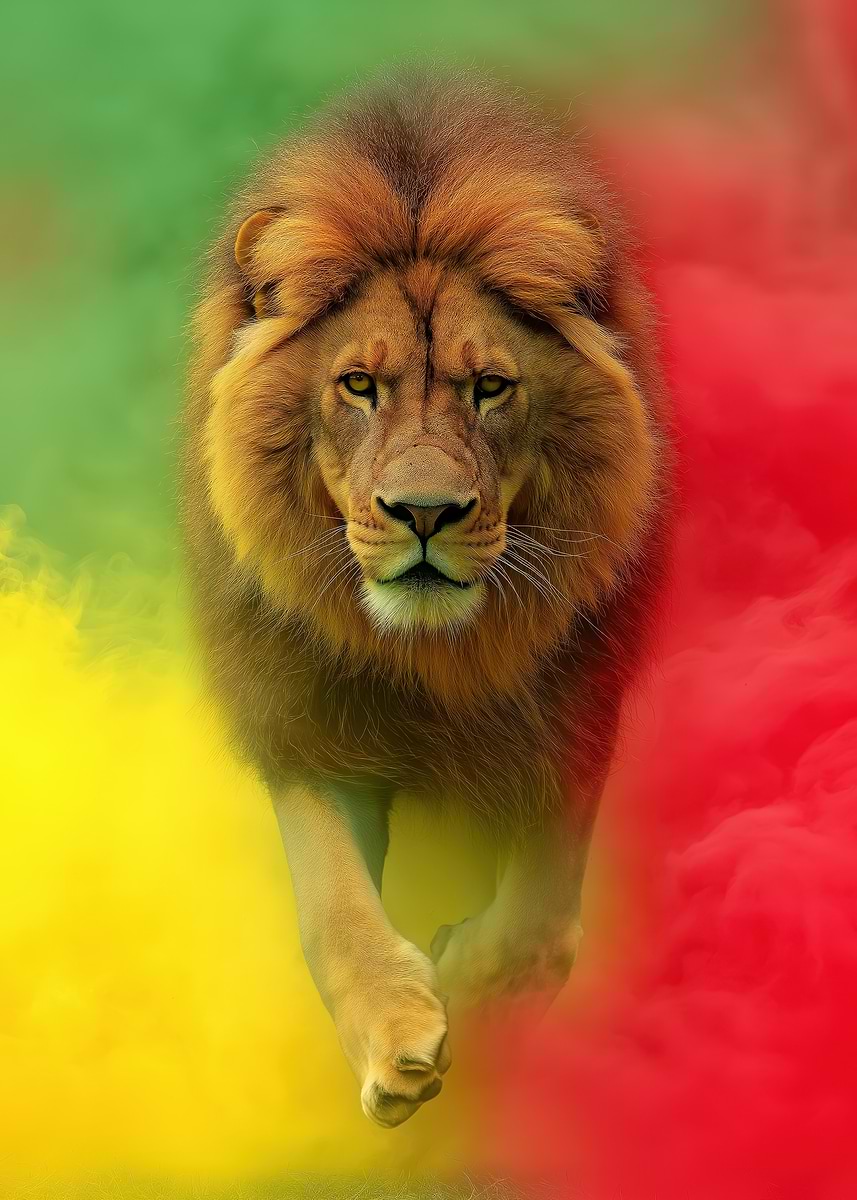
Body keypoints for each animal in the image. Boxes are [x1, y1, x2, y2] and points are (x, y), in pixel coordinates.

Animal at [181, 72, 674, 1128]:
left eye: (489, 386)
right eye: (358, 385)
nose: (422, 512)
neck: (434, 654)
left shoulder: (575, 707)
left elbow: (541, 920)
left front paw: (479, 998)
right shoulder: (305, 724)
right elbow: (332, 906)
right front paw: (397, 1039)